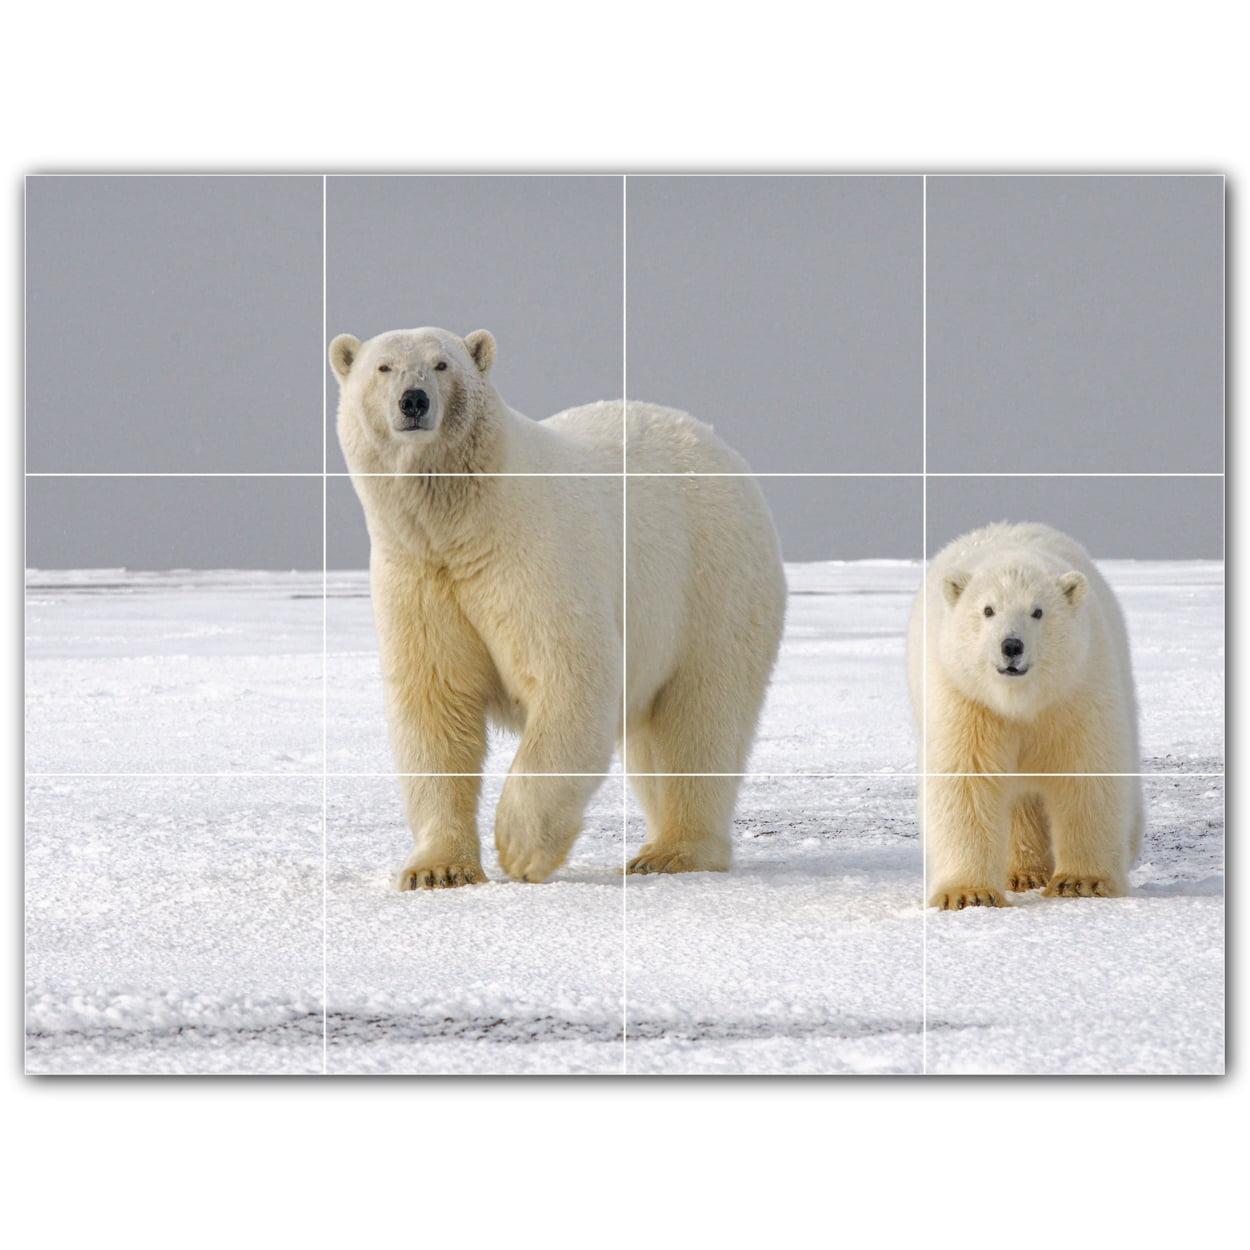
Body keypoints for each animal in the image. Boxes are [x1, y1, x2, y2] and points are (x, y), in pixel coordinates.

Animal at [328, 326, 786, 889]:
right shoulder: (418, 576)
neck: (462, 524)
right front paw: (437, 870)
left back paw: (672, 852)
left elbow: (570, 673)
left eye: (441, 364)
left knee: (701, 716)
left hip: (711, 581)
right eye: (384, 367)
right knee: (653, 740)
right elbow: (434, 703)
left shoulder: (531, 556)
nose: (413, 401)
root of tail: (718, 445)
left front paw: (520, 849)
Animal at [906, 521, 1143, 909]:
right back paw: (1022, 873)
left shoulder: (1075, 690)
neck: (1020, 701)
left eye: (1038, 611)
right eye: (988, 610)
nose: (1011, 645)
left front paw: (1081, 882)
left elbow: (1086, 772)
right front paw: (969, 894)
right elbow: (966, 780)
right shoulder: (966, 698)